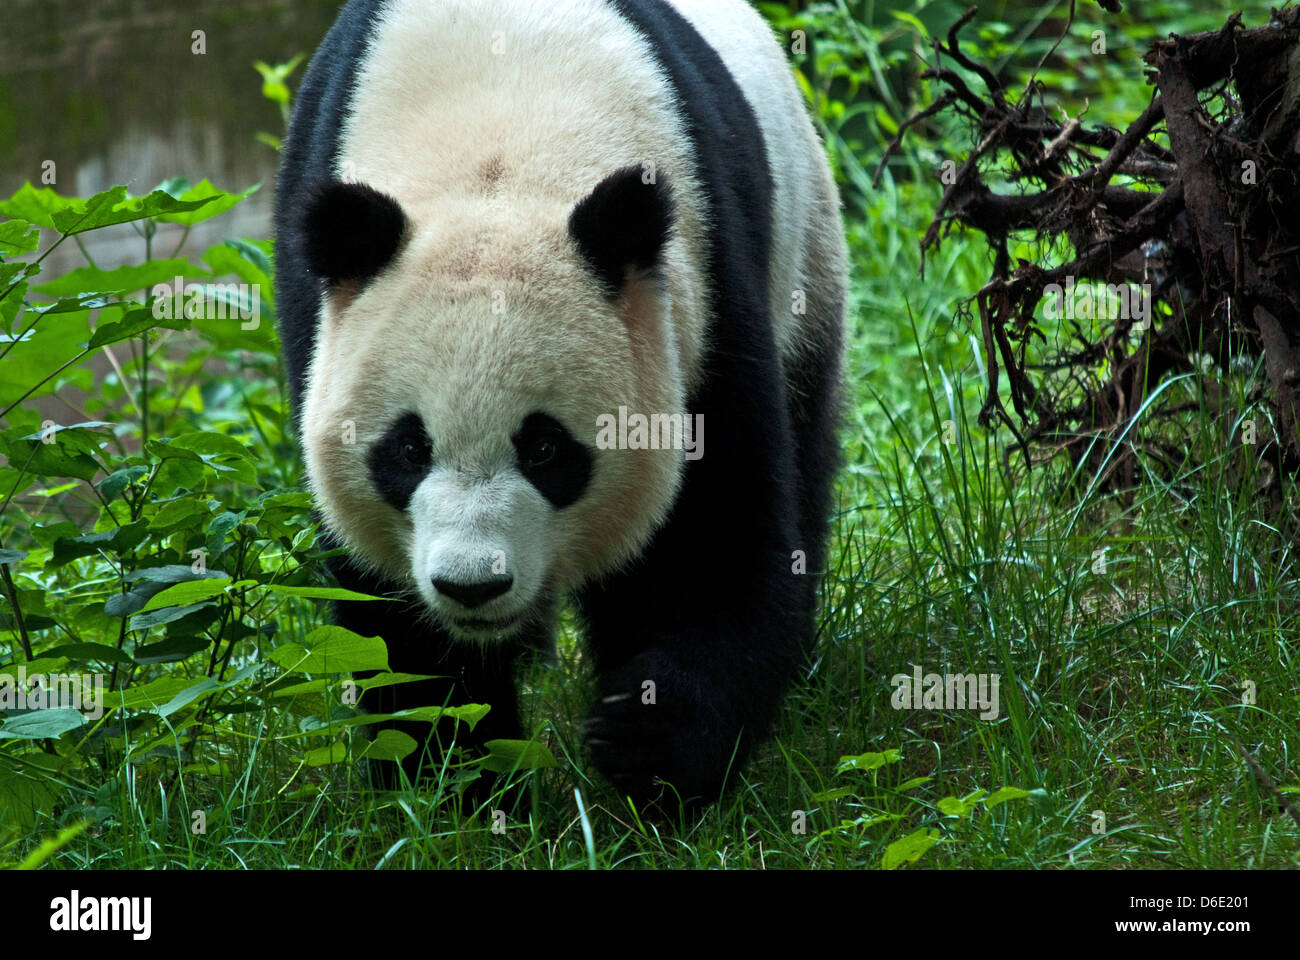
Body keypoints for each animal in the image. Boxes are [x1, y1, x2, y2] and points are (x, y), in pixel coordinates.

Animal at [274, 0, 847, 809]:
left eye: (545, 448)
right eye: (409, 448)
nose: (473, 586)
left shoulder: (705, 283)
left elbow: (712, 536)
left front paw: (649, 745)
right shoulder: (318, 307)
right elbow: (388, 610)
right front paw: (454, 776)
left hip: (807, 254)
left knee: (806, 438)